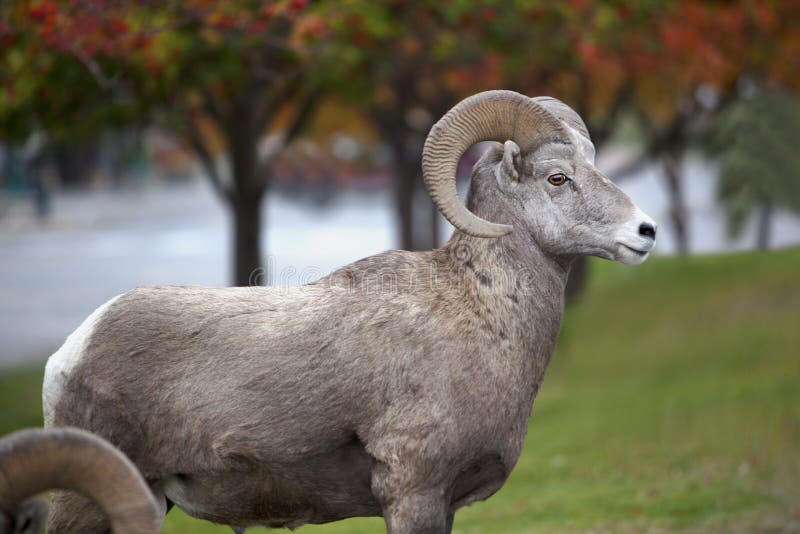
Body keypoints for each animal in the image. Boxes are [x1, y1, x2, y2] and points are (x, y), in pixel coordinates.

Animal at [42, 90, 657, 533]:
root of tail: (68, 354)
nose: (646, 232)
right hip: (86, 507)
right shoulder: (414, 496)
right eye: (558, 177)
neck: (482, 312)